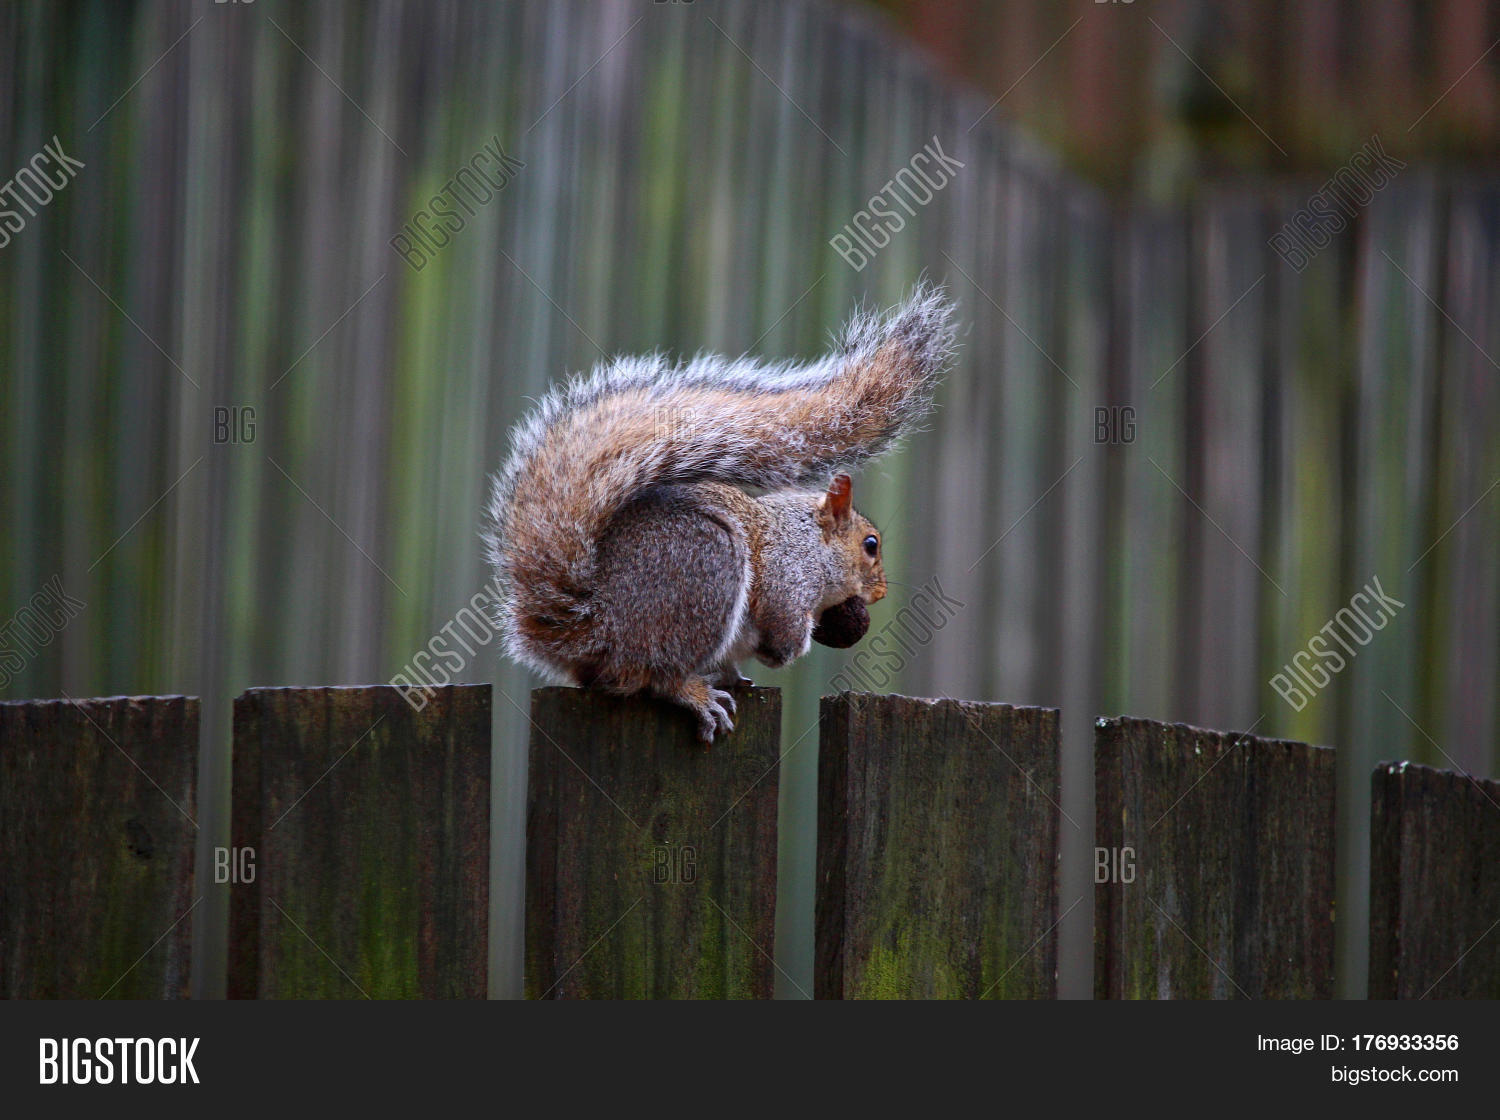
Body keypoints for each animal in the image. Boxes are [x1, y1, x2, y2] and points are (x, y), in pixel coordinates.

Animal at [481, 284, 956, 742]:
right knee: (654, 676)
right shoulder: (789, 578)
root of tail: (594, 627)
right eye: (871, 545)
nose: (880, 593)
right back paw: (696, 695)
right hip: (708, 571)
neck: (808, 539)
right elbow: (782, 627)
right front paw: (789, 648)